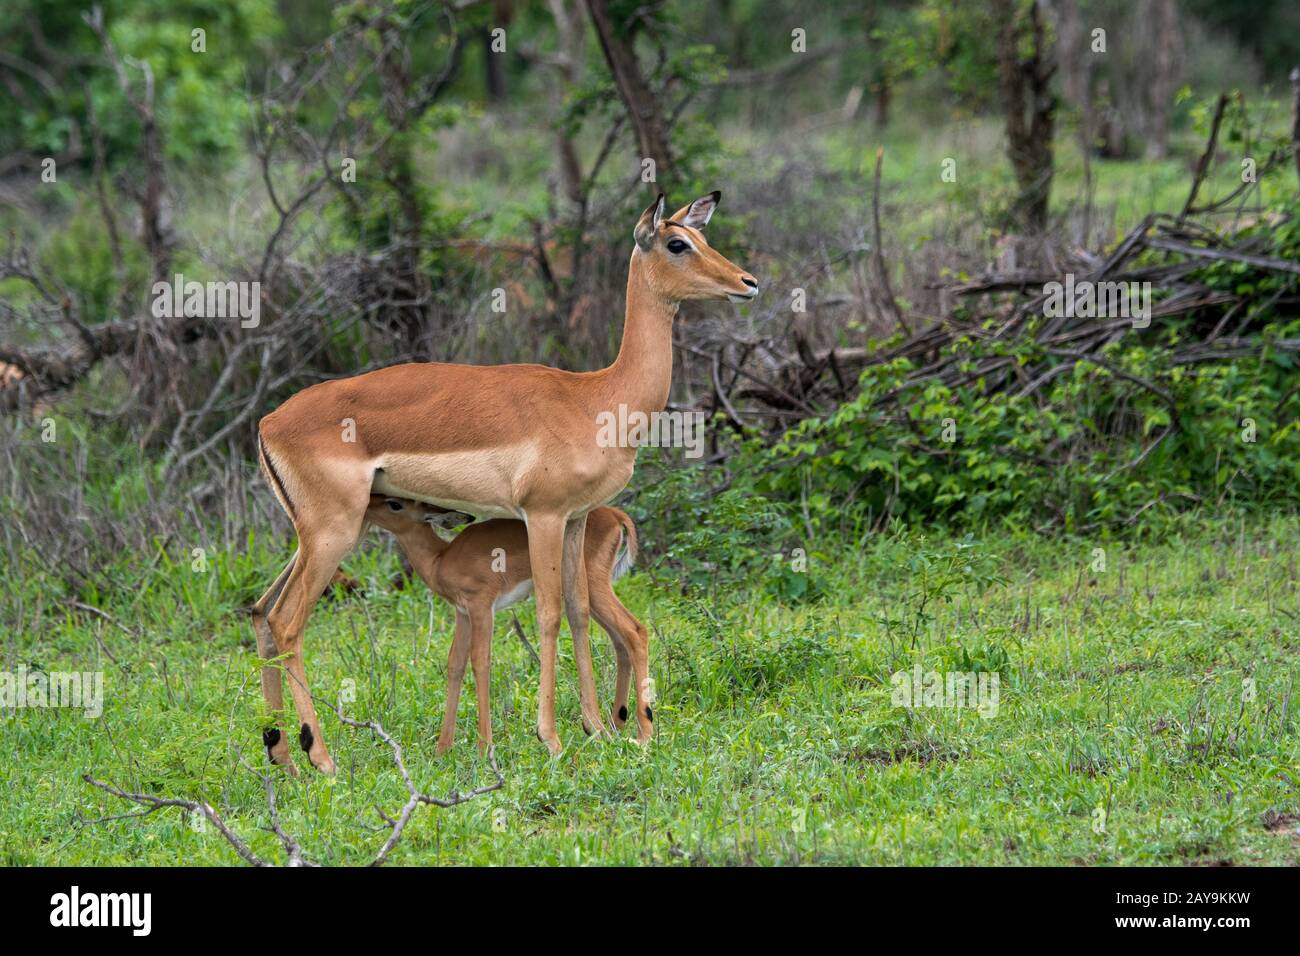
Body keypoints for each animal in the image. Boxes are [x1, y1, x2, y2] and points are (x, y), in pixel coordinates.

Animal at [364, 495, 652, 752]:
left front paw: (484, 748)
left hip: (592, 585)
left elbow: (480, 662)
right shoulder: (463, 613)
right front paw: (442, 750)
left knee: (635, 630)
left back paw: (642, 734)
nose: (368, 504)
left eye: (395, 503)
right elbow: (455, 664)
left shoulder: (482, 607)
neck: (441, 558)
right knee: (620, 640)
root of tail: (615, 514)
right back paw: (616, 724)